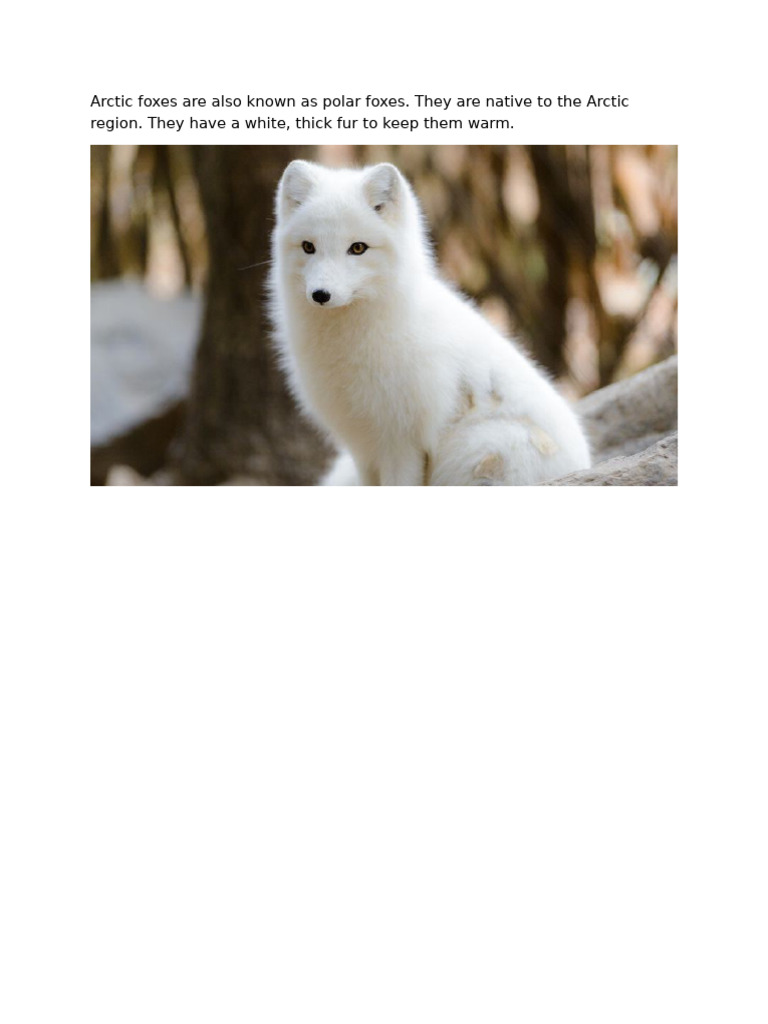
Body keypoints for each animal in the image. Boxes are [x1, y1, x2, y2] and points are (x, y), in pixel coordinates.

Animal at [269, 160, 590, 485]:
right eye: (308, 246)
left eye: (358, 248)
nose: (320, 294)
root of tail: (584, 464)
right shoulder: (363, 446)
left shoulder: (402, 441)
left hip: (480, 447)